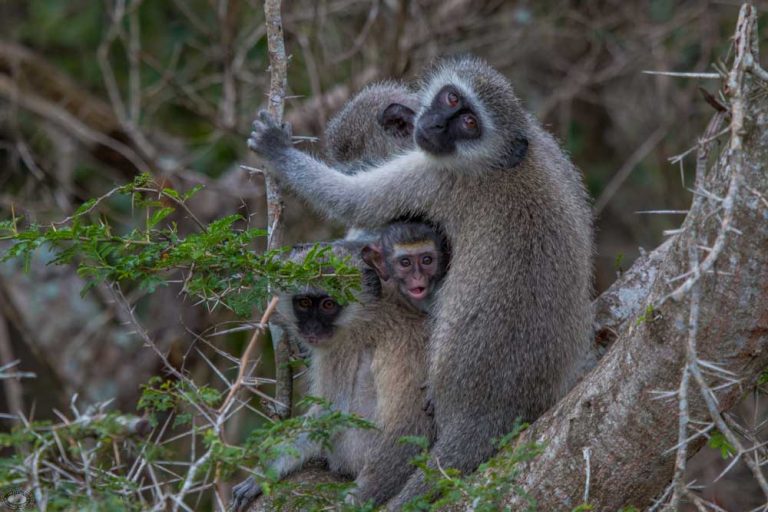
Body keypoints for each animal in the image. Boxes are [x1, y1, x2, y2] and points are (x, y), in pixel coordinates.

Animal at [246, 55, 594, 508]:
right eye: (451, 99)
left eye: (468, 122)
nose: (438, 123)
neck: (504, 160)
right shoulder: (547, 149)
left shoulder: (433, 178)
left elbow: (355, 202)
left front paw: (277, 150)